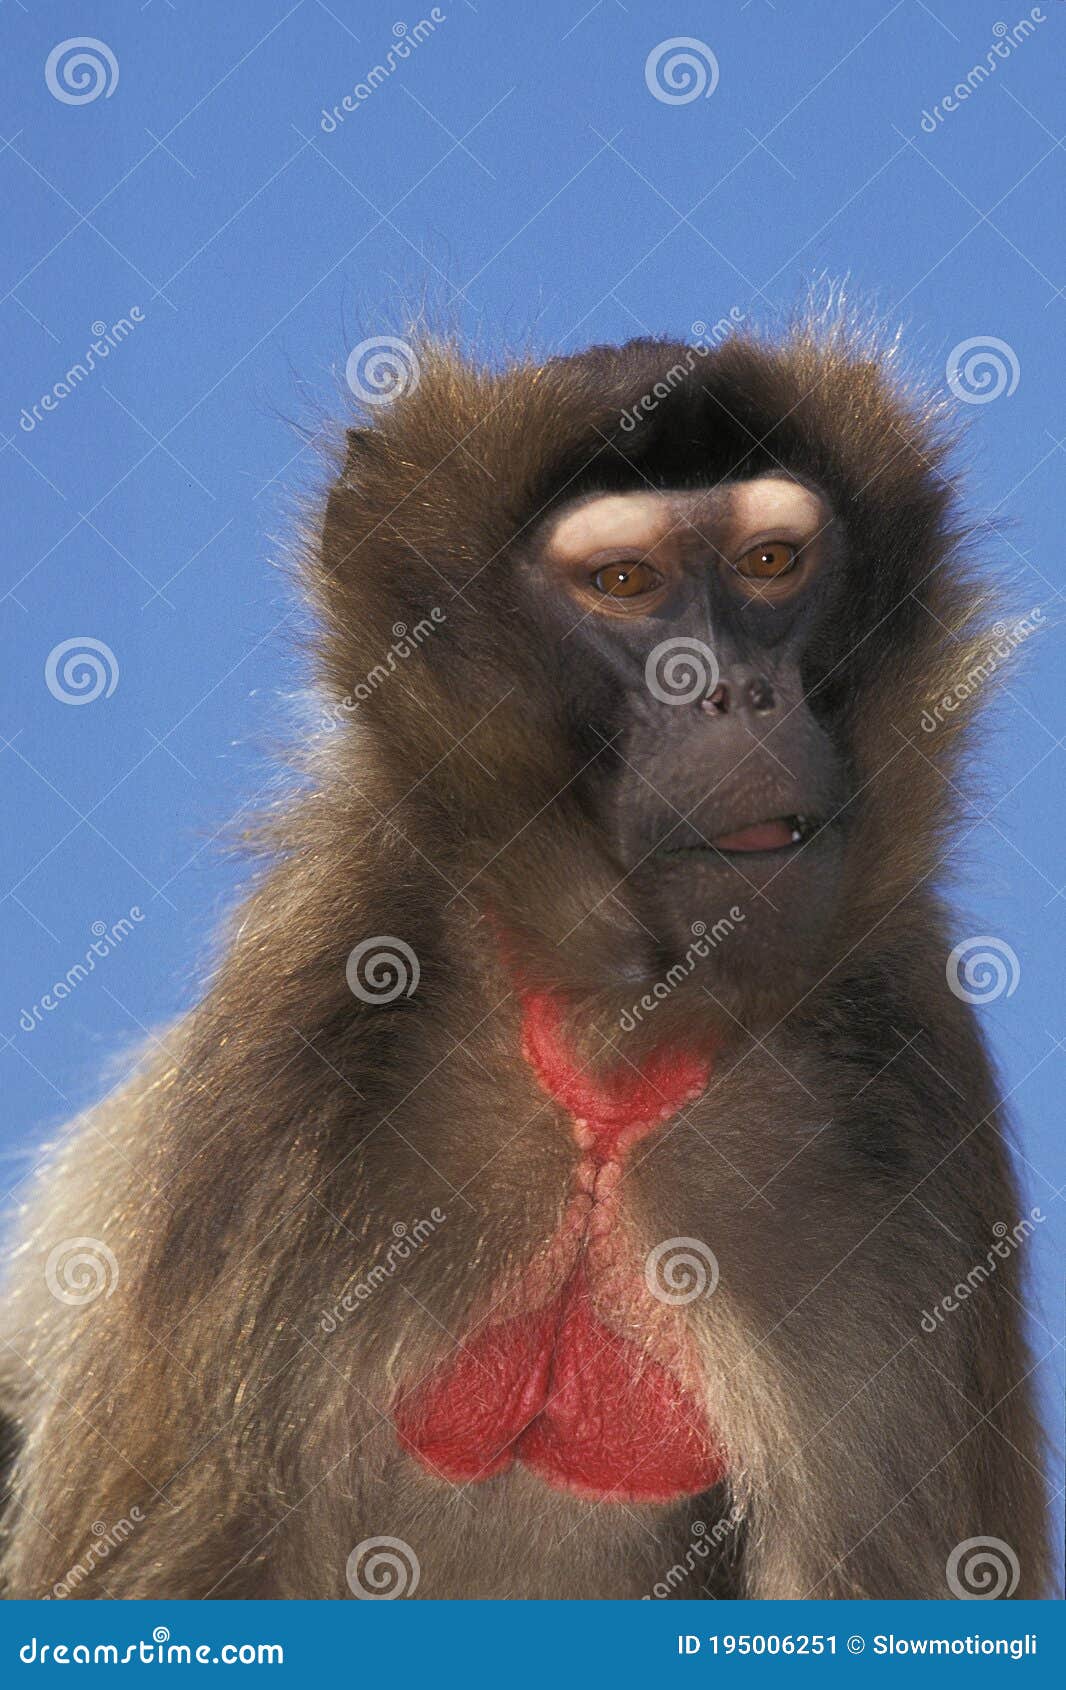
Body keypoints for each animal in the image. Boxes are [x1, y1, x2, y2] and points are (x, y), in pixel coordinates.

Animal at [0, 320, 1053, 1601]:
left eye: (769, 562)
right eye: (624, 584)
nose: (737, 693)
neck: (610, 1073)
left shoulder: (902, 1107)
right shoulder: (299, 1044)